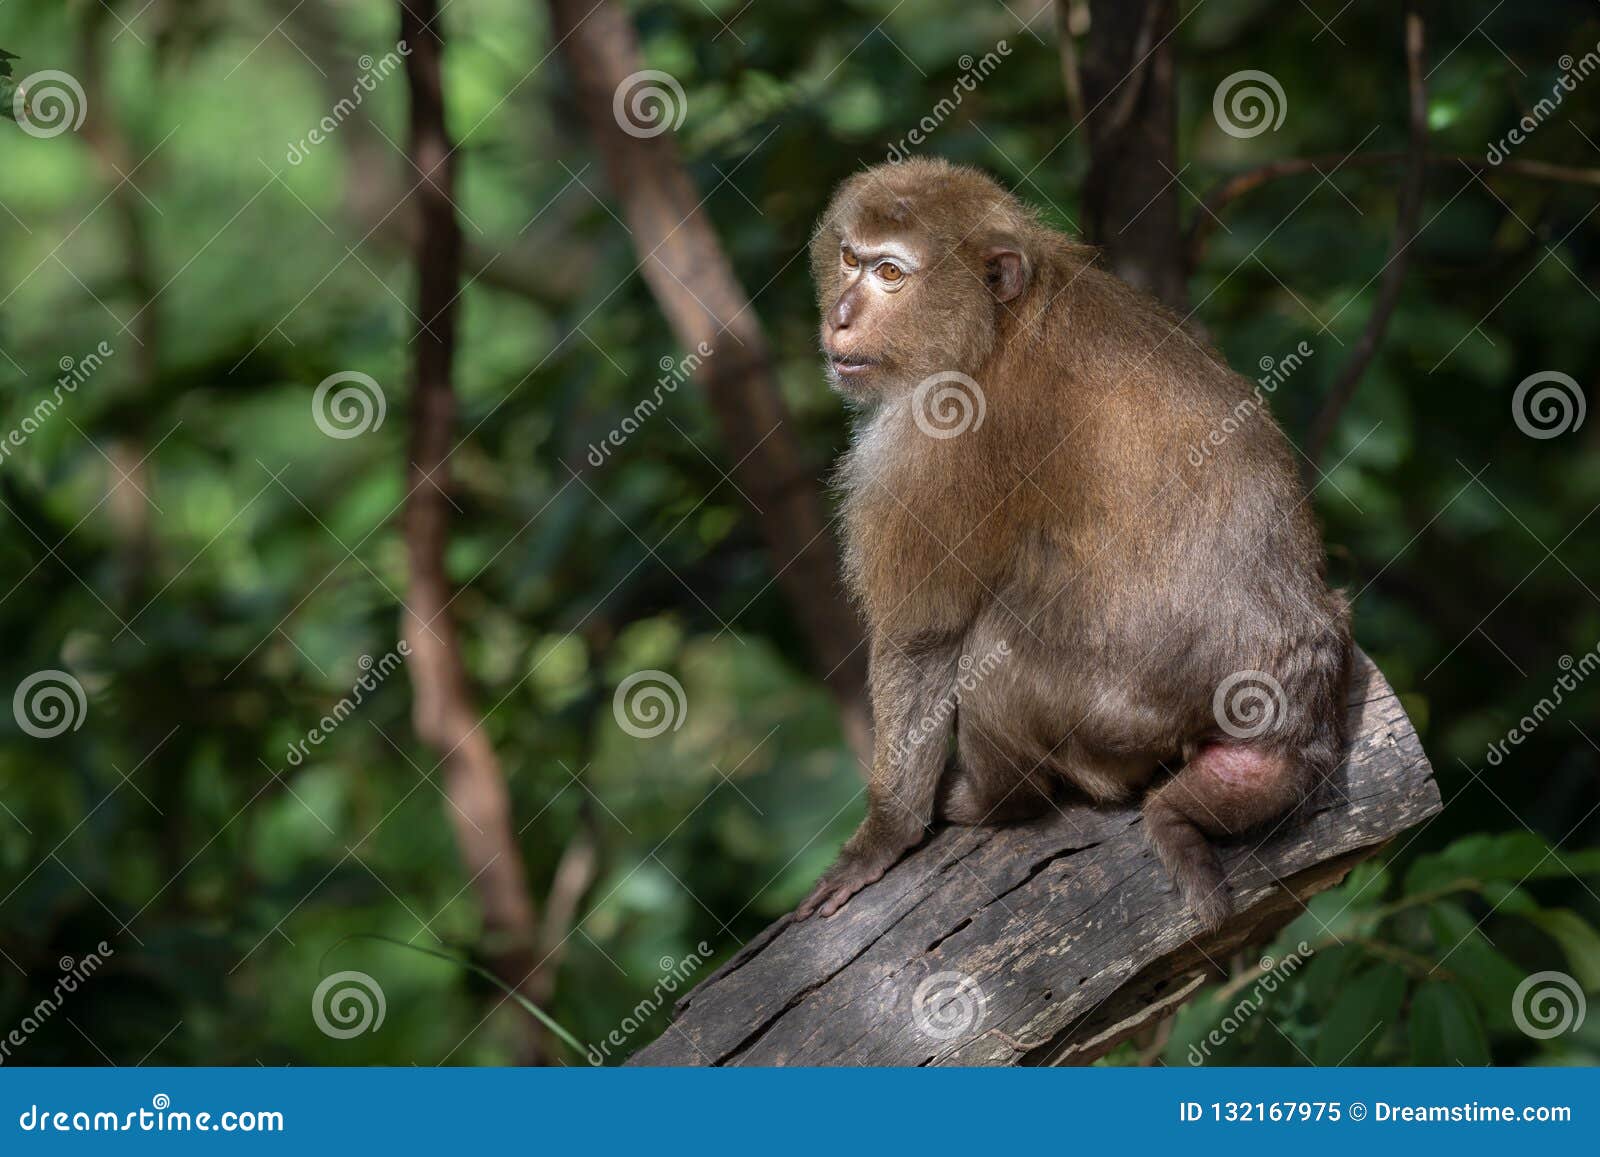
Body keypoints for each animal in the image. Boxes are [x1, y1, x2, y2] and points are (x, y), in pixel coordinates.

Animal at [793, 157, 1350, 933]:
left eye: (891, 273)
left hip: (1112, 717)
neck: (995, 326)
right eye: (849, 259)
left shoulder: (935, 440)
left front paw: (884, 831)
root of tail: (1294, 699)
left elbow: (925, 635)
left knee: (992, 648)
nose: (839, 315)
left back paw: (997, 800)